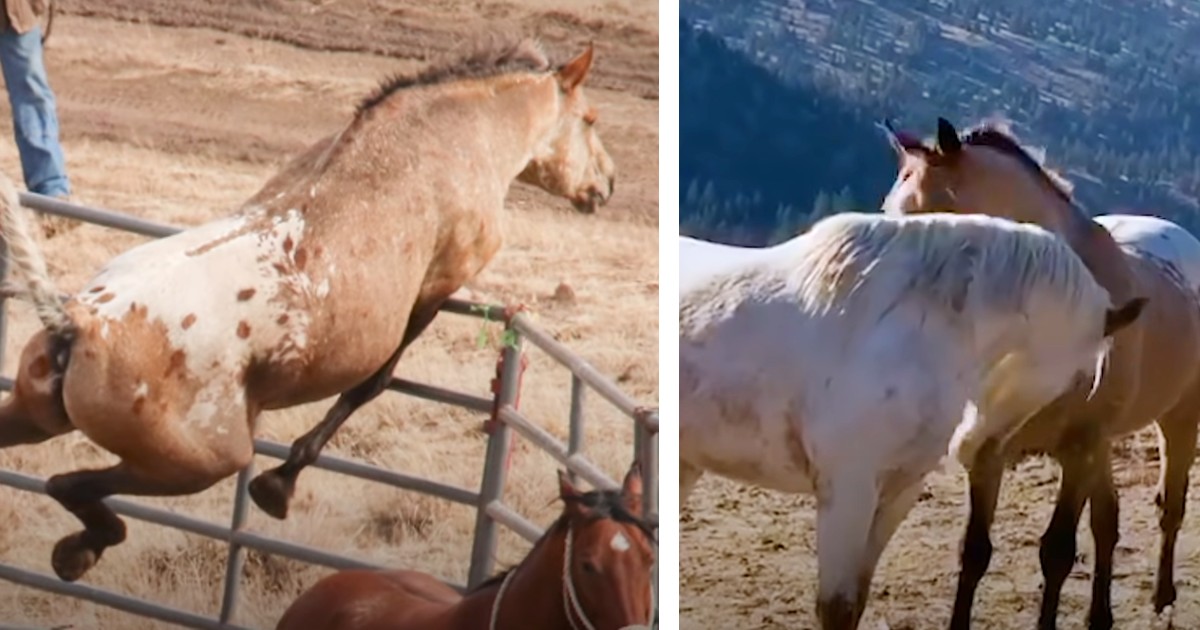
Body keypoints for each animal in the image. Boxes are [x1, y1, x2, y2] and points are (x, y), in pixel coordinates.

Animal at [0, 36, 615, 583]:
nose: (607, 184)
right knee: (70, 486)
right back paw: (78, 553)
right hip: (201, 460)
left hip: (32, 416)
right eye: (589, 119)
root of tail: (82, 324)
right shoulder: (439, 285)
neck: (447, 138)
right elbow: (370, 385)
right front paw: (279, 486)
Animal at [679, 210, 1146, 630]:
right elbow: (836, 609)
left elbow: (856, 602)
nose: (978, 445)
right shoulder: (847, 491)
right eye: (1081, 374)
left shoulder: (899, 490)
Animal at [880, 116, 1200, 629]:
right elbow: (974, 552)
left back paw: (1162, 597)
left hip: (1177, 418)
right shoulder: (990, 450)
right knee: (1107, 522)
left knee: (1169, 508)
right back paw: (1100, 616)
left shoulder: (1079, 447)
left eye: (933, 217)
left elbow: (1057, 553)